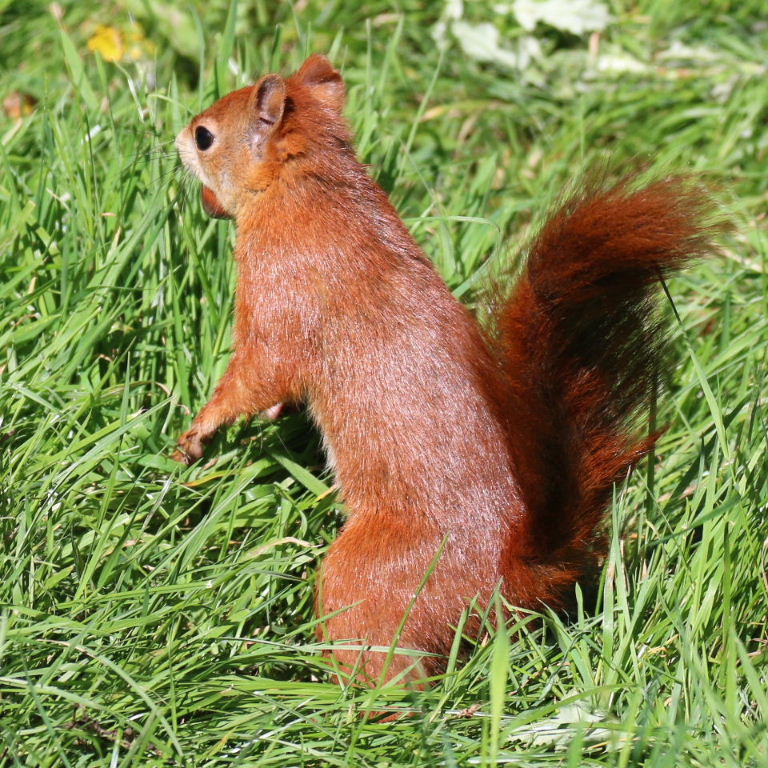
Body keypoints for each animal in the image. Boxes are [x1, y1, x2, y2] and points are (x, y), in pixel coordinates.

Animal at [174, 54, 715, 687]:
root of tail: (516, 571)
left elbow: (258, 372)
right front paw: (273, 415)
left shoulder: (280, 287)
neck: (312, 188)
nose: (178, 137)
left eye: (206, 137)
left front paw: (199, 430)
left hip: (366, 576)